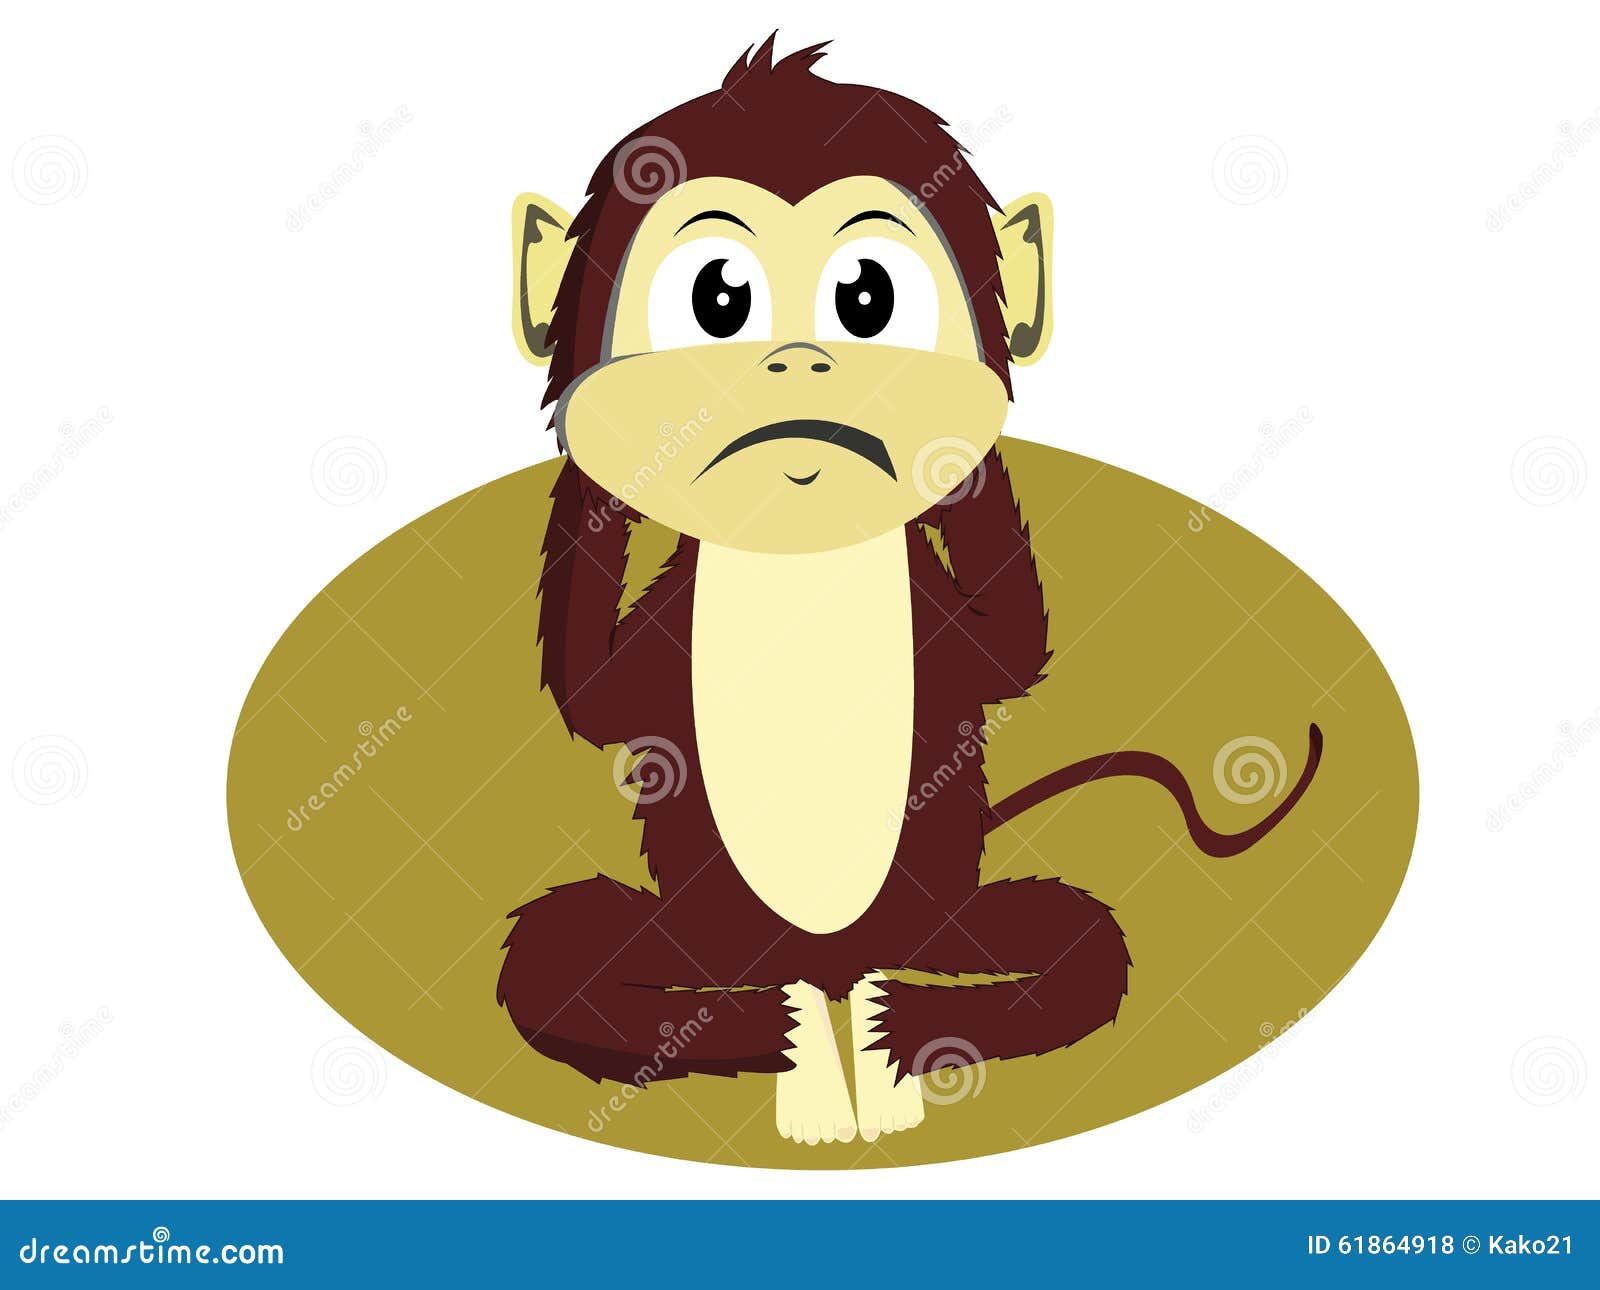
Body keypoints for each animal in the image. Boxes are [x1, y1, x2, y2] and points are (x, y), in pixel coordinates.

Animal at [496, 36, 1322, 1146]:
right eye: (718, 298)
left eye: (866, 298)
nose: (799, 362)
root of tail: (832, 958)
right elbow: (596, 701)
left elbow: (1010, 653)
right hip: (702, 936)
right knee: (564, 954)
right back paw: (802, 1042)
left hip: (942, 921)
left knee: (1076, 944)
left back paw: (890, 1034)